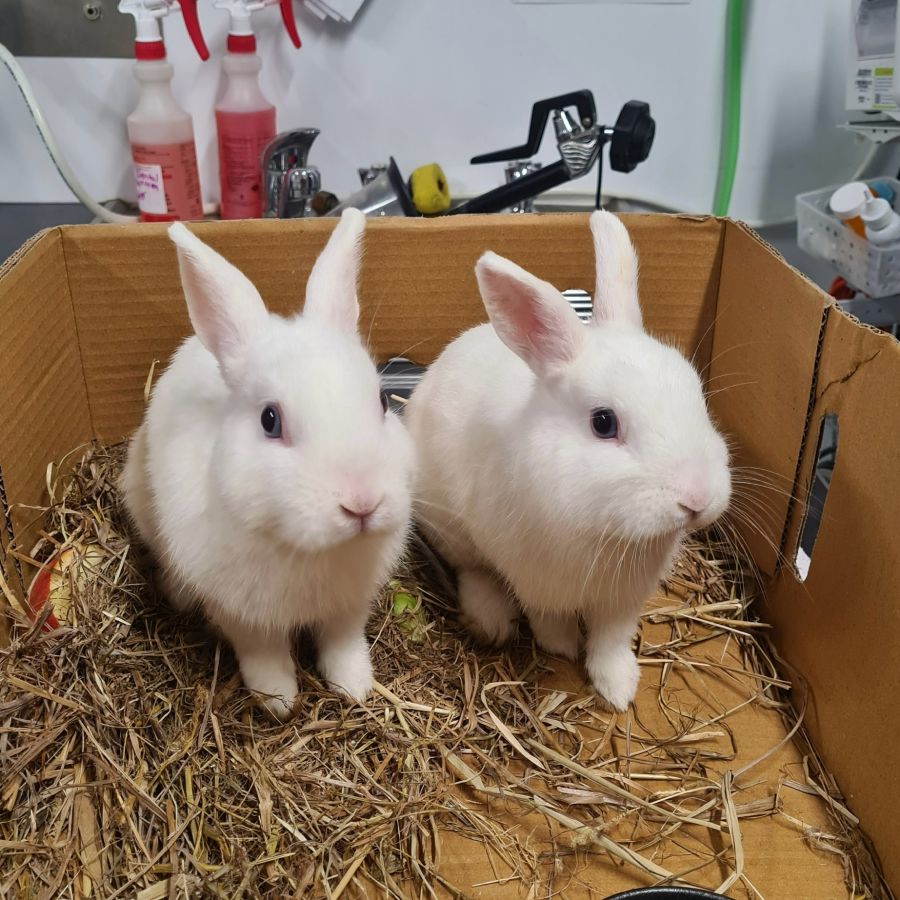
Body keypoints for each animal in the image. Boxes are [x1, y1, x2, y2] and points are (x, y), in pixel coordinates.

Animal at [120, 209, 415, 720]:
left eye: (382, 402)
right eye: (269, 420)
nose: (362, 504)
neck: (306, 549)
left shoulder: (349, 607)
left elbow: (342, 643)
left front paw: (354, 687)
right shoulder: (243, 615)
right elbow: (264, 654)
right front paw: (278, 701)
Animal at [404, 211, 731, 712]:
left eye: (697, 392)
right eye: (603, 422)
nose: (696, 498)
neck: (607, 529)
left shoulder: (623, 600)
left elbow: (611, 639)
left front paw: (618, 688)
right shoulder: (536, 580)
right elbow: (548, 619)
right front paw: (562, 648)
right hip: (449, 528)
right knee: (470, 569)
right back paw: (493, 618)